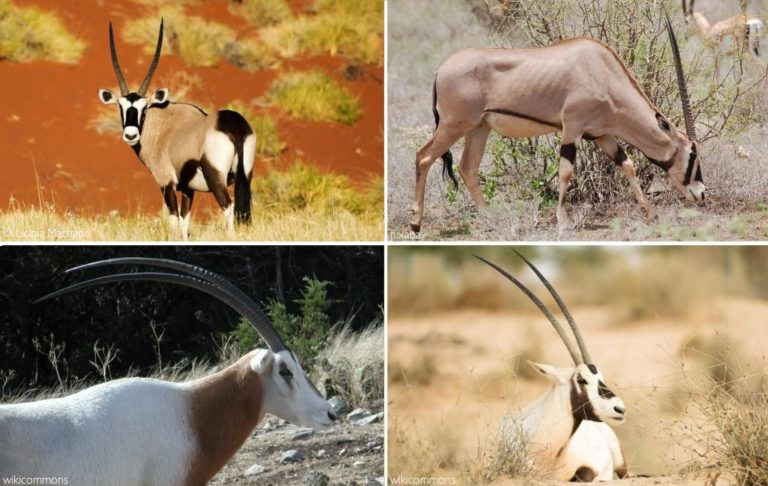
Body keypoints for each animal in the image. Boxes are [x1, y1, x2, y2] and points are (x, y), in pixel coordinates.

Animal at [98, 21, 256, 240]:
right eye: (120, 107)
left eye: (143, 108)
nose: (131, 135)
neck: (162, 126)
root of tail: (235, 128)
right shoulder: (188, 189)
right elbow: (184, 221)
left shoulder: (167, 184)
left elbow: (173, 220)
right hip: (245, 175)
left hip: (216, 178)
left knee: (228, 207)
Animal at [409, 15, 704, 234]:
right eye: (692, 154)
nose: (701, 193)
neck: (603, 73)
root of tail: (441, 69)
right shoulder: (572, 128)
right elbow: (566, 171)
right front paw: (563, 222)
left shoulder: (600, 134)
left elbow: (627, 164)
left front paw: (651, 213)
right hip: (454, 125)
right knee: (423, 157)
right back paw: (415, 223)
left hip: (479, 128)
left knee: (467, 167)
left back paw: (490, 216)